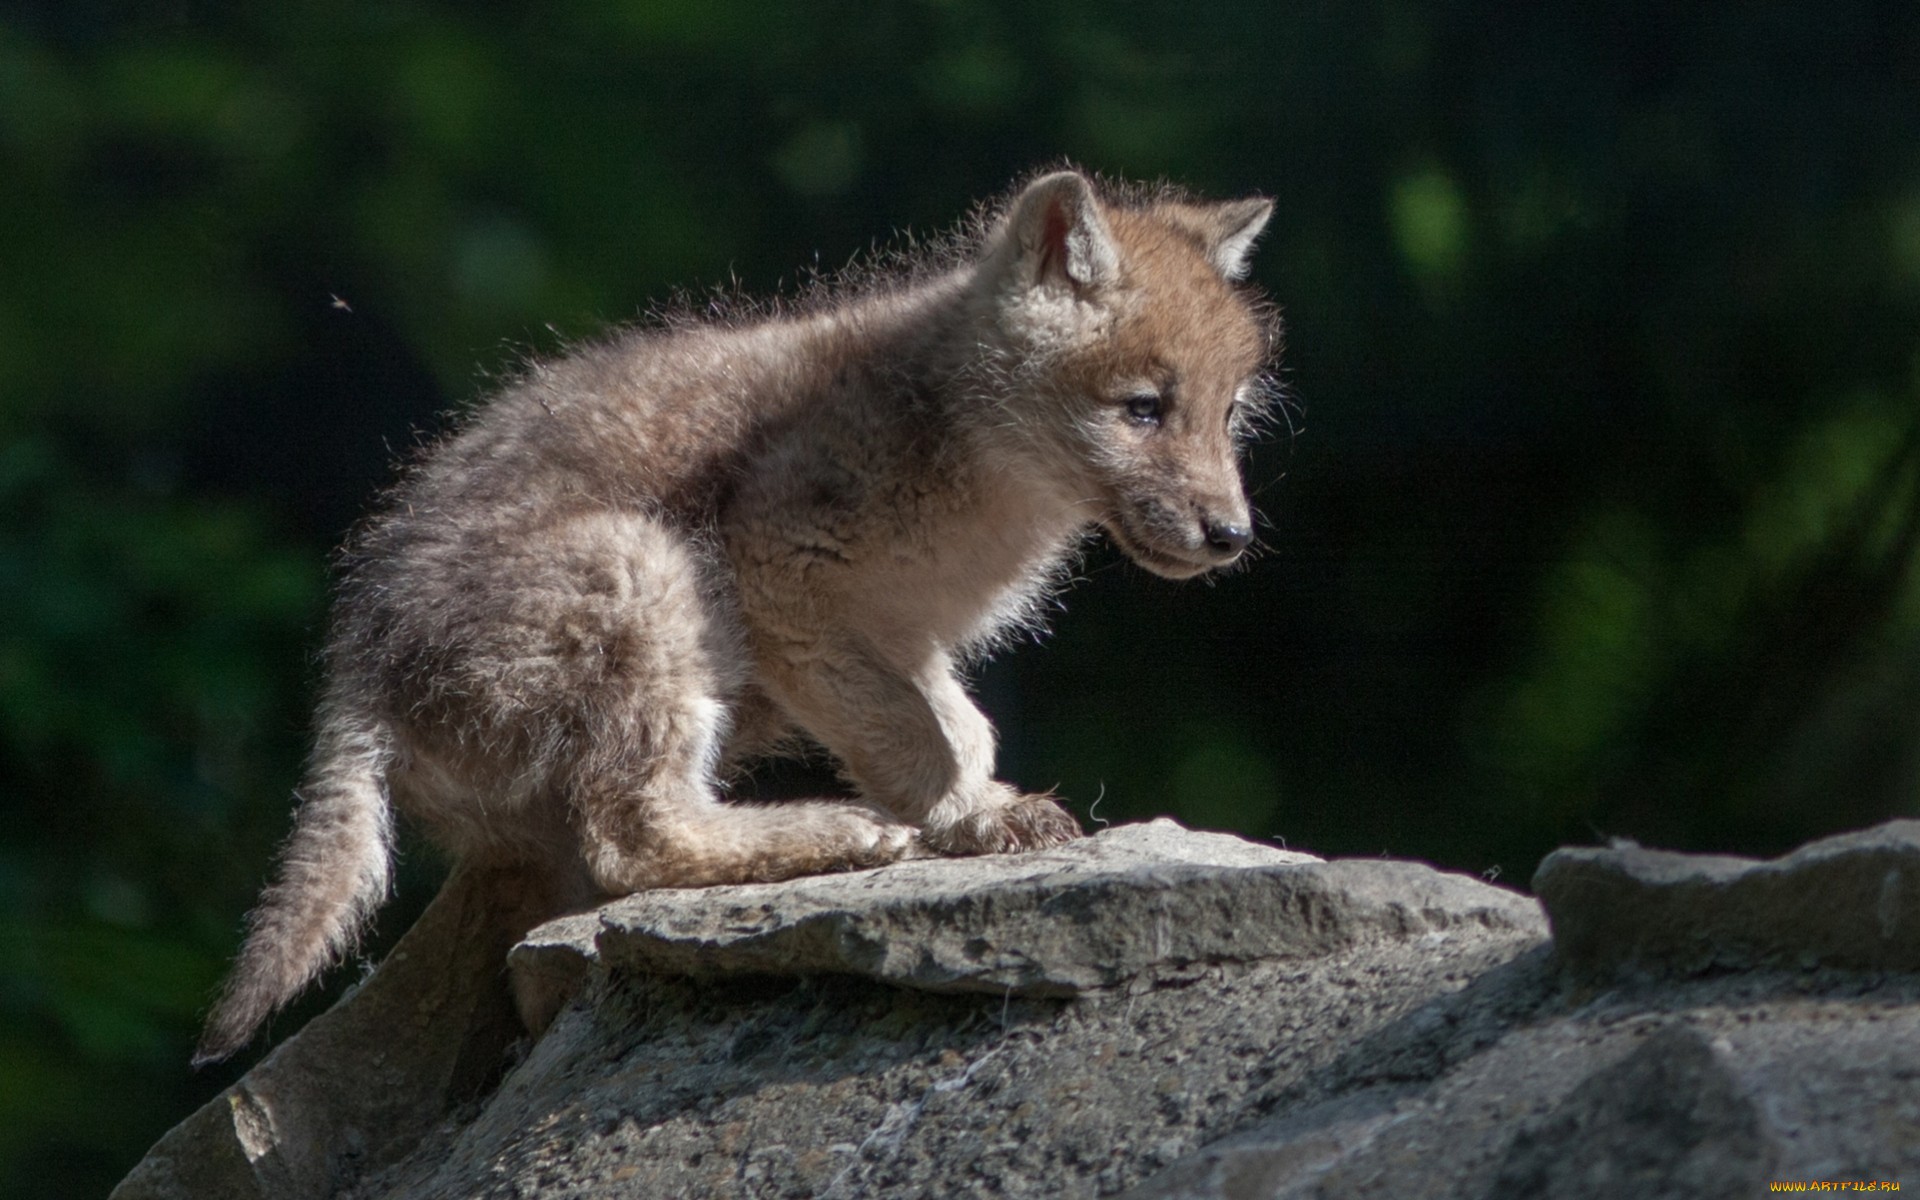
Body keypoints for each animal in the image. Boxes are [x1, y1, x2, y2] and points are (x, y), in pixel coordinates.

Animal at [195, 169, 1278, 1064]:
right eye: (1142, 408)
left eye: (1229, 413)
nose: (1231, 534)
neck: (989, 473)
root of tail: (357, 678)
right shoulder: (784, 580)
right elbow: (918, 741)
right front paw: (967, 822)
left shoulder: (899, 637)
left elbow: (960, 727)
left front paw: (985, 804)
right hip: (651, 576)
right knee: (634, 839)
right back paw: (835, 835)